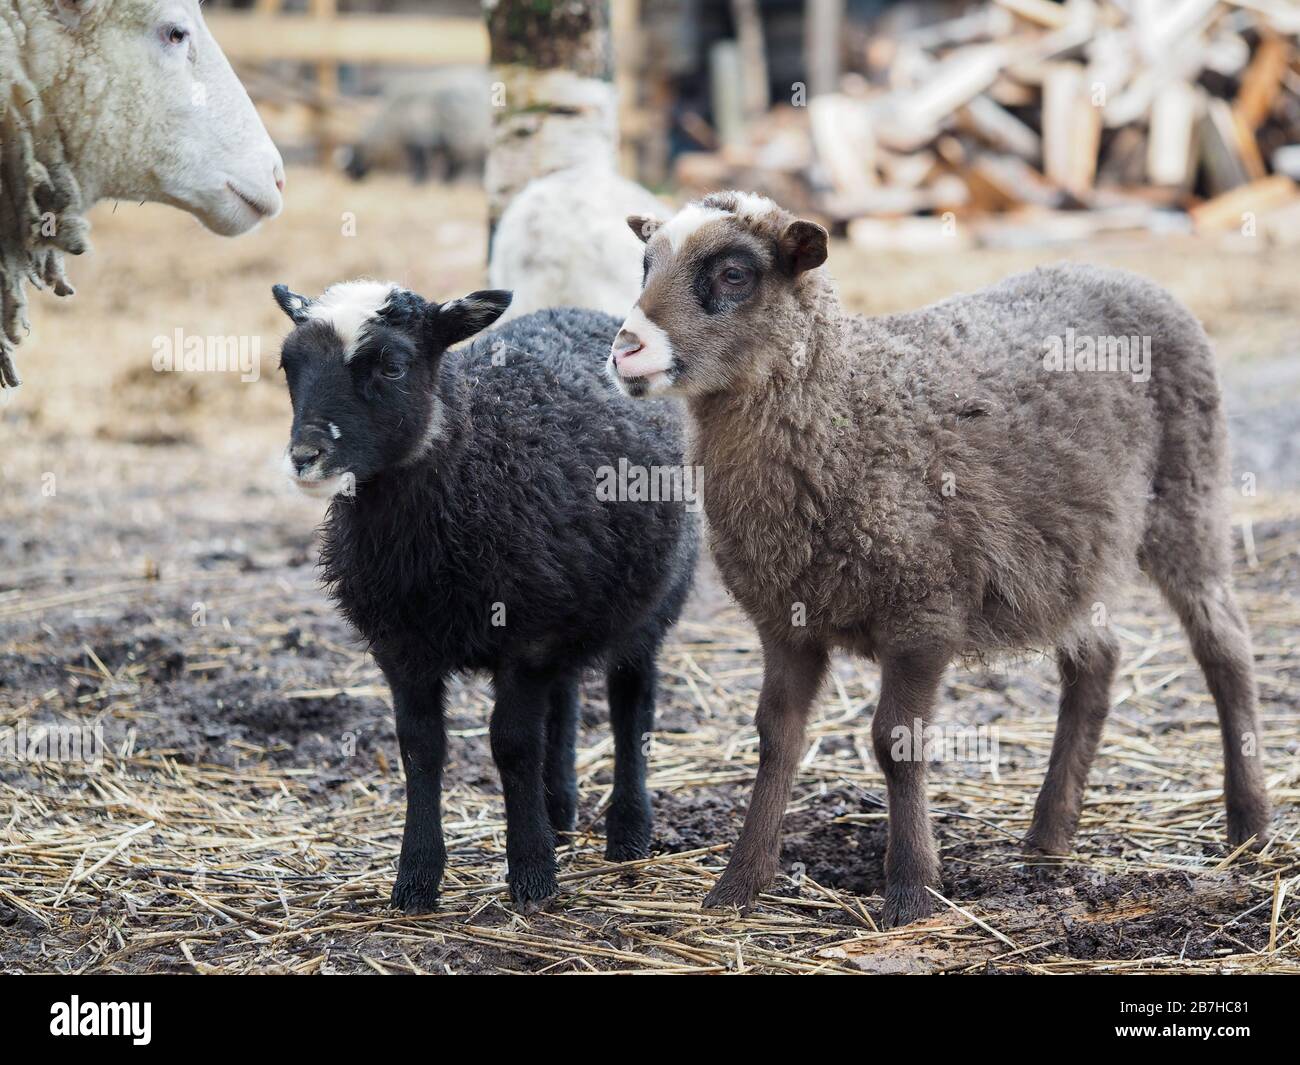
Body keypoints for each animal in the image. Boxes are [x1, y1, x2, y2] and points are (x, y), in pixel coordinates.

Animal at [270, 280, 698, 912]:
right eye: (288, 364)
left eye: (392, 365)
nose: (306, 458)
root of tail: (583, 312)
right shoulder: (401, 645)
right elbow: (421, 747)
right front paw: (416, 881)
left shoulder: (526, 637)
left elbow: (513, 745)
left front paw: (532, 876)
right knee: (565, 697)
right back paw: (558, 812)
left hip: (652, 599)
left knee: (631, 702)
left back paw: (626, 832)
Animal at [340, 68, 490, 184]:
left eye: (352, 163)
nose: (354, 181)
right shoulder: (435, 141)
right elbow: (445, 161)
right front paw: (442, 181)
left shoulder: (418, 138)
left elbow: (419, 162)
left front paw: (417, 181)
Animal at [608, 190, 1270, 927]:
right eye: (645, 263)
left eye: (733, 274)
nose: (625, 348)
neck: (846, 408)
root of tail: (1129, 273)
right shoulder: (786, 620)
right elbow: (776, 736)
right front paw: (738, 885)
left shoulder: (923, 610)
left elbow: (895, 743)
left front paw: (913, 891)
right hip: (1071, 550)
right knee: (1096, 660)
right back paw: (1048, 838)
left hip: (1189, 492)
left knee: (1225, 644)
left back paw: (1249, 825)